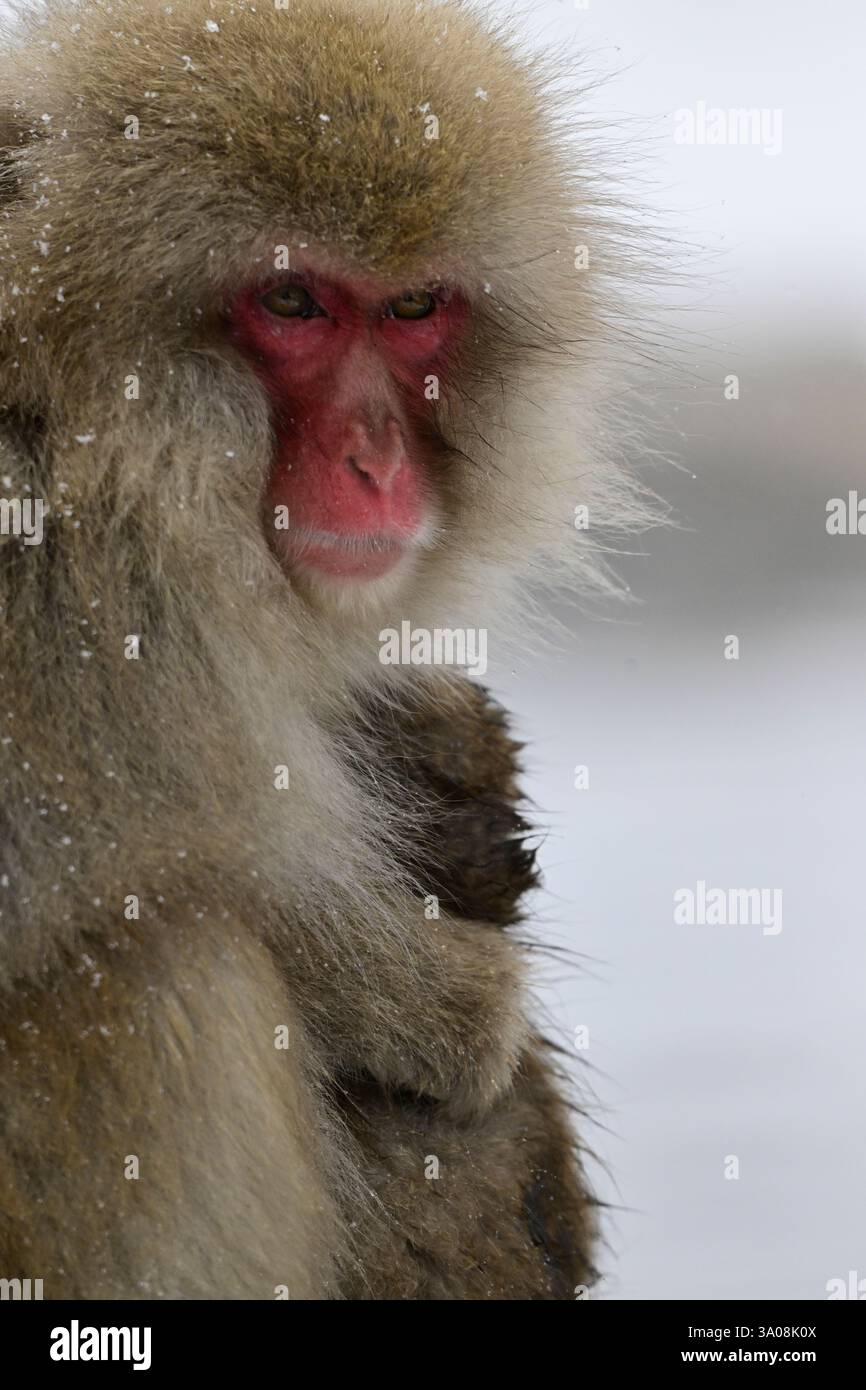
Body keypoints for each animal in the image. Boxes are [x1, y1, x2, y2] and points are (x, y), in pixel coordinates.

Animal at [0, 0, 650, 1299]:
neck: (89, 448)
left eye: (412, 310)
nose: (371, 458)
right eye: (293, 303)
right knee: (172, 964)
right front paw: (439, 1004)